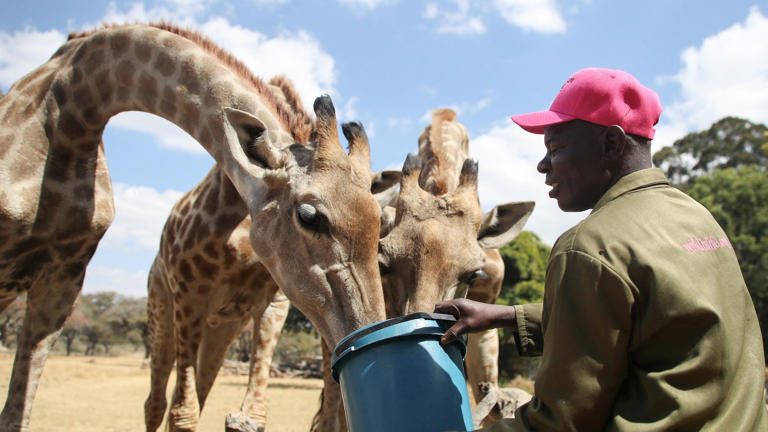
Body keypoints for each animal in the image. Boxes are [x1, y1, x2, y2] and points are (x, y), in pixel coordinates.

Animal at [0, 23, 385, 432]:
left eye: (378, 223)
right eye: (309, 216)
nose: (366, 333)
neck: (78, 106)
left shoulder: (275, 300)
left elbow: (251, 413)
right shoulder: (186, 294)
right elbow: (181, 412)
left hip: (221, 329)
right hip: (160, 314)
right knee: (156, 401)